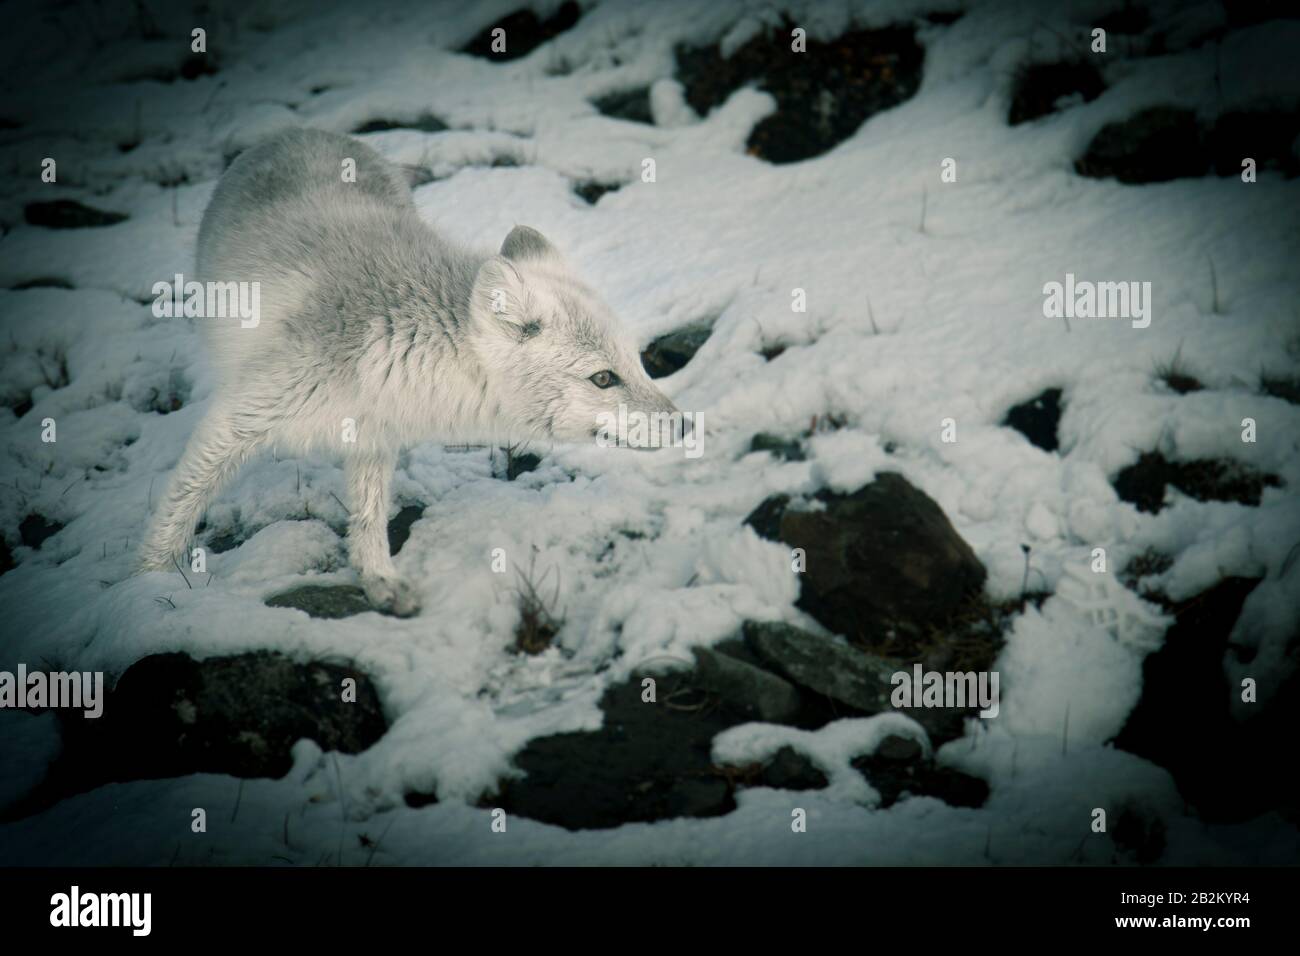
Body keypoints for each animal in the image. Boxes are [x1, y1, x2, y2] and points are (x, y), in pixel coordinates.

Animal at [138, 127, 682, 616]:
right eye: (603, 378)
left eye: (636, 362)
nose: (683, 426)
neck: (394, 340)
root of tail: (296, 130)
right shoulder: (239, 417)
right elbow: (179, 508)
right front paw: (145, 590)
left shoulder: (373, 434)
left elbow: (369, 517)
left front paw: (378, 580)